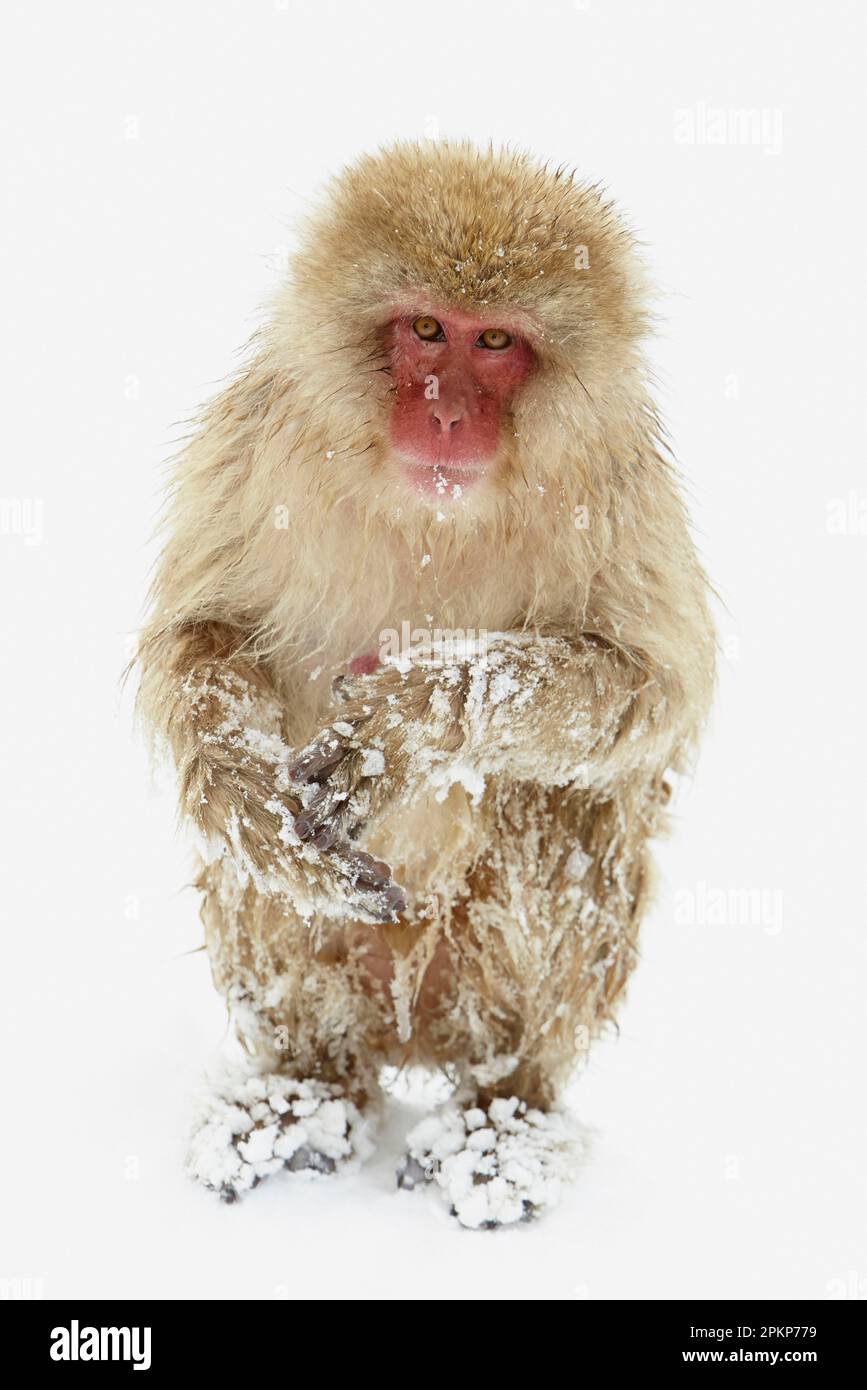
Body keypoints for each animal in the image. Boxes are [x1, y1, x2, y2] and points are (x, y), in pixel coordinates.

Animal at [135, 141, 715, 1228]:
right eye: (426, 330)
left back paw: (502, 1123)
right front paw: (249, 792)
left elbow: (650, 690)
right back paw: (307, 1093)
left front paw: (414, 718)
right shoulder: (256, 439)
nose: (446, 409)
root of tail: (407, 1036)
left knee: (549, 812)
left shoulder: (619, 490)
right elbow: (203, 640)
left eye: (494, 341)